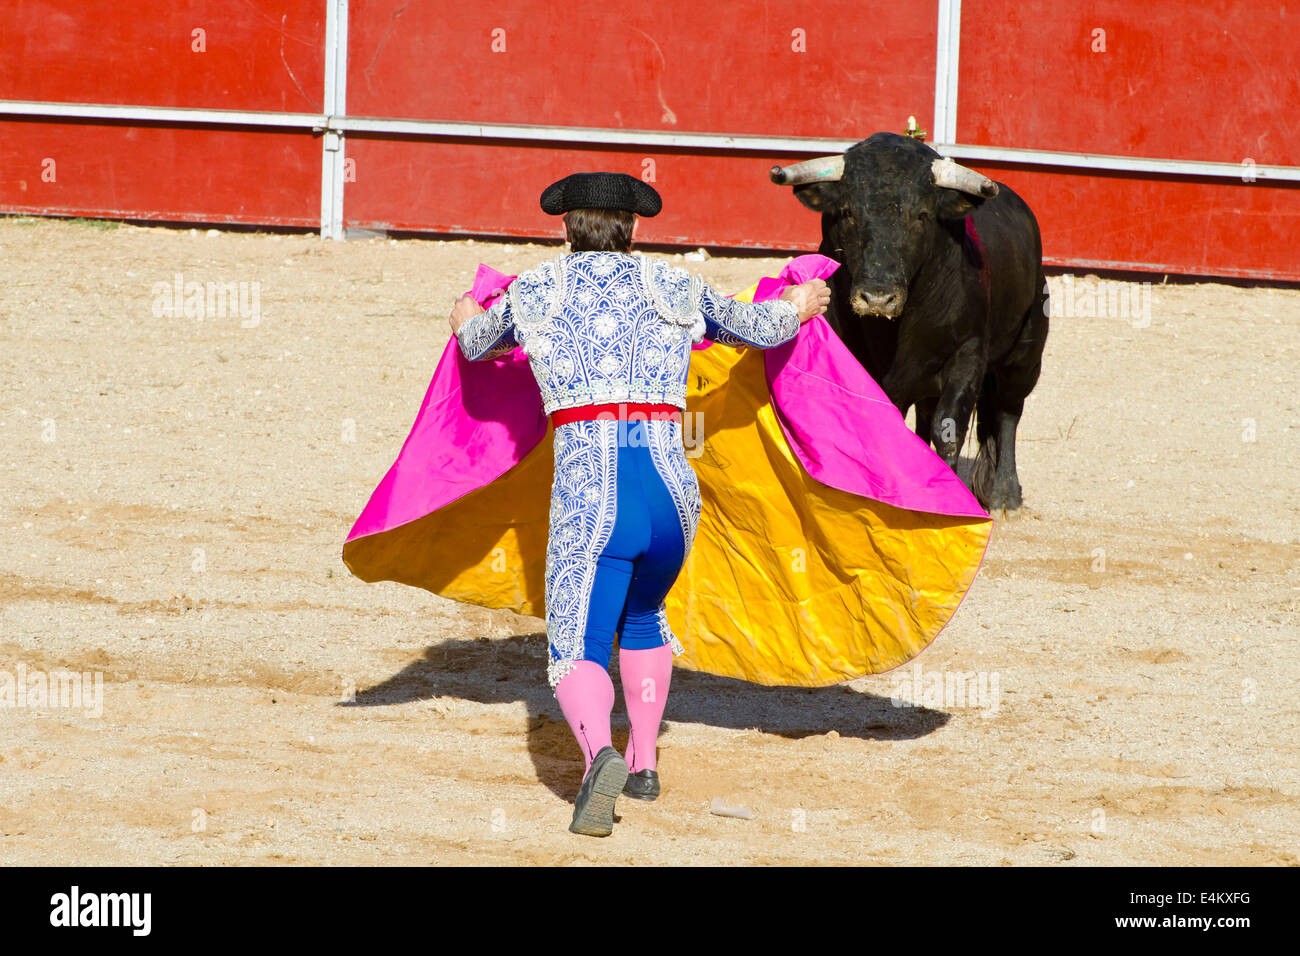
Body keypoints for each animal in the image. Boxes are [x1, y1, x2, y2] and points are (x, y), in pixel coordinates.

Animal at [770, 131, 1049, 513]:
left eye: (922, 215)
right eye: (848, 212)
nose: (877, 297)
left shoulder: (967, 356)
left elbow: (949, 430)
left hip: (1024, 355)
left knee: (1008, 413)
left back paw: (1004, 495)